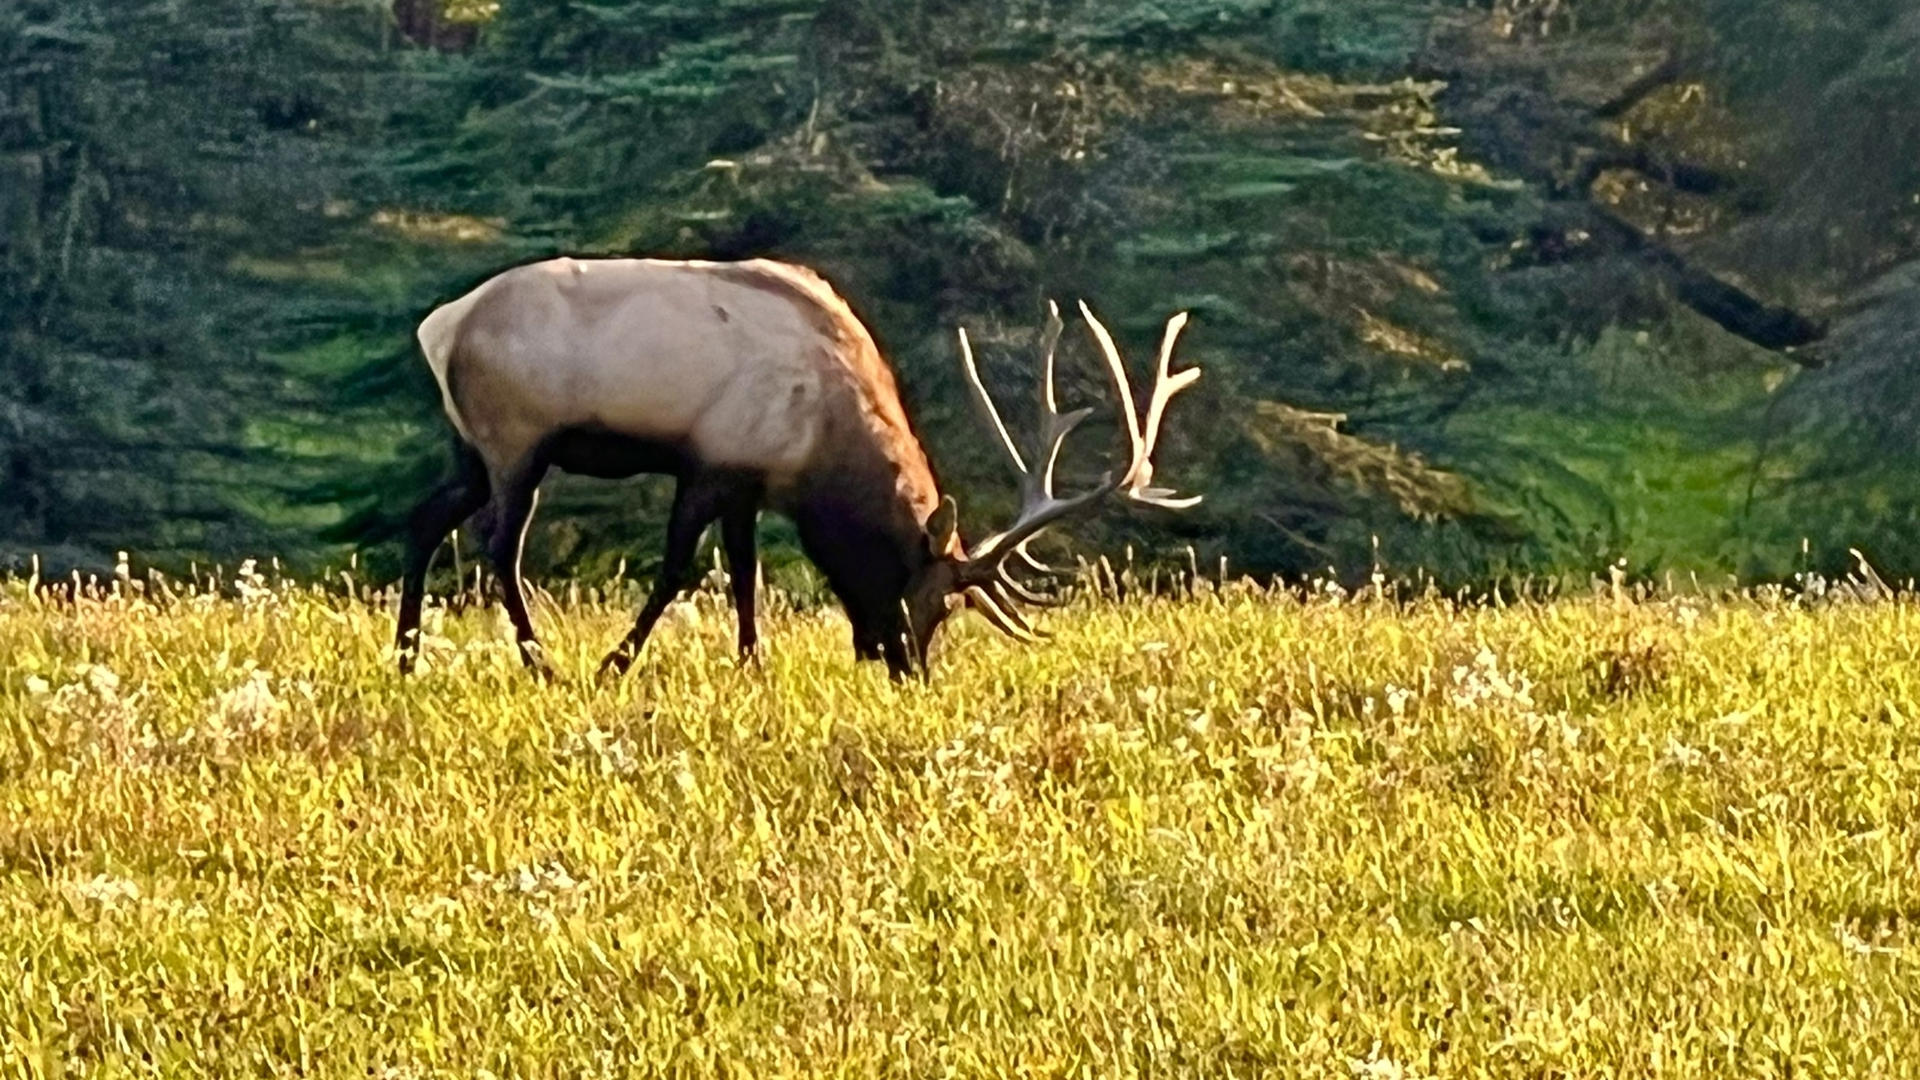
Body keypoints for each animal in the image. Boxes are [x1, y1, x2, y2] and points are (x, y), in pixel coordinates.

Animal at [394, 256, 1201, 680]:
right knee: (500, 543)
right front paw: (614, 663)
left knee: (425, 519)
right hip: (517, 441)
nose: (907, 667)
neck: (822, 447)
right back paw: (542, 662)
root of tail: (441, 328)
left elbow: (745, 578)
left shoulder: (749, 483)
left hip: (470, 448)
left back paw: (406, 655)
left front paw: (751, 664)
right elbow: (677, 570)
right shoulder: (711, 460)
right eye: (936, 601)